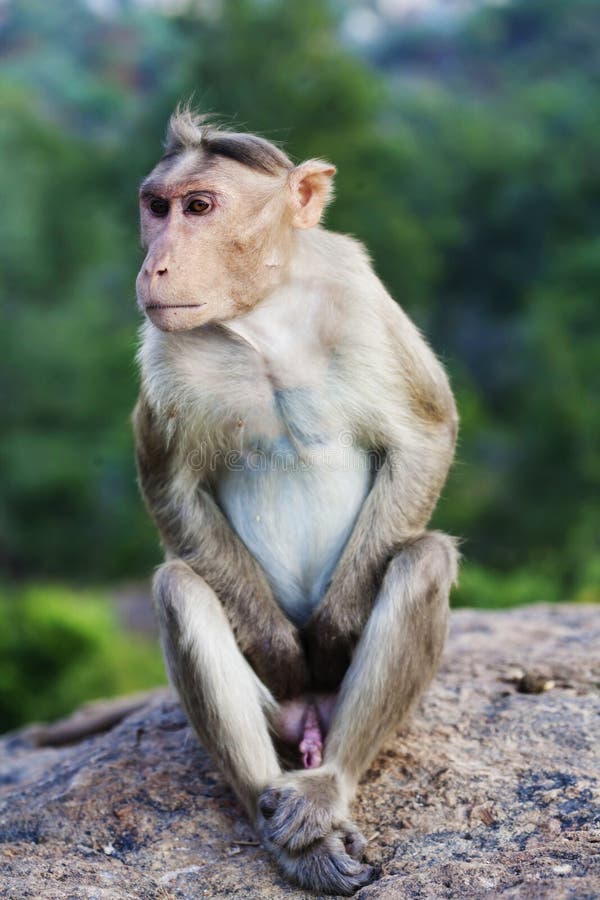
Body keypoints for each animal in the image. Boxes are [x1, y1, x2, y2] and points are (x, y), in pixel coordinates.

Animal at [133, 109, 459, 896]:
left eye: (199, 206)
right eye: (156, 207)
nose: (155, 266)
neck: (263, 323)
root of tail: (310, 718)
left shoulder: (362, 298)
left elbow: (426, 433)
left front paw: (334, 631)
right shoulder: (162, 347)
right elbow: (168, 480)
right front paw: (283, 649)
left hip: (340, 701)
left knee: (424, 560)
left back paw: (324, 787)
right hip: (274, 713)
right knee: (181, 587)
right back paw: (274, 810)